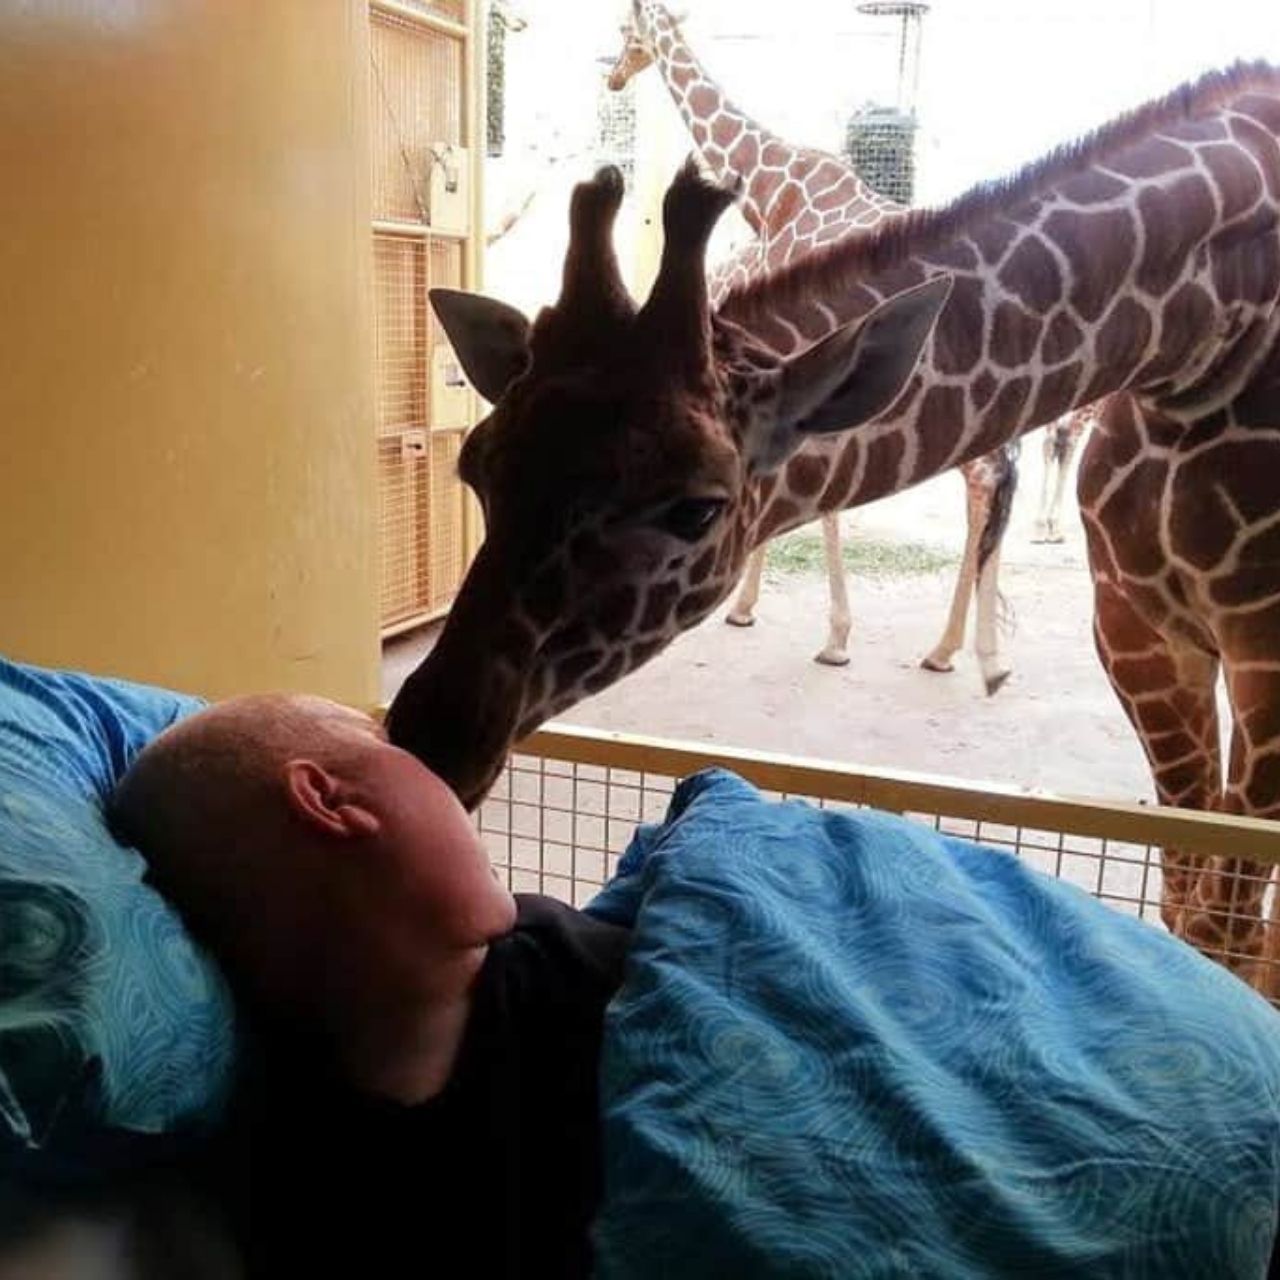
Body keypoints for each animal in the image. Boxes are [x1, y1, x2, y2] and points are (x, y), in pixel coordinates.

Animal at [608, 0, 1019, 686]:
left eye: (624, 32)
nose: (613, 75)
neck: (773, 190)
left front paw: (833, 636)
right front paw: (758, 608)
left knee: (988, 478)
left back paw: (965, 650)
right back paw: (958, 648)